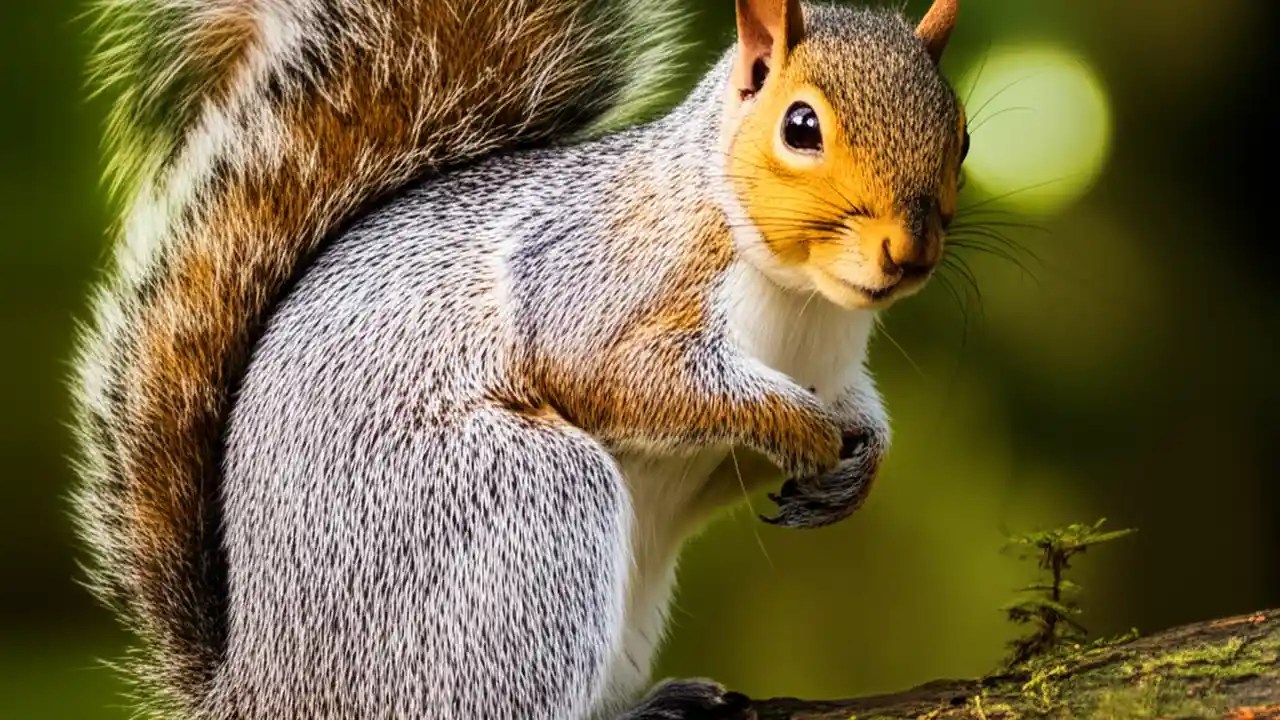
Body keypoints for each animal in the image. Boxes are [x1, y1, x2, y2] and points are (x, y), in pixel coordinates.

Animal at [71, 0, 967, 717]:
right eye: (800, 127)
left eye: (960, 133)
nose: (907, 253)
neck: (801, 301)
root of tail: (263, 688)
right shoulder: (598, 281)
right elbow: (620, 375)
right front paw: (796, 424)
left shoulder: (829, 367)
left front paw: (860, 461)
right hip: (521, 516)